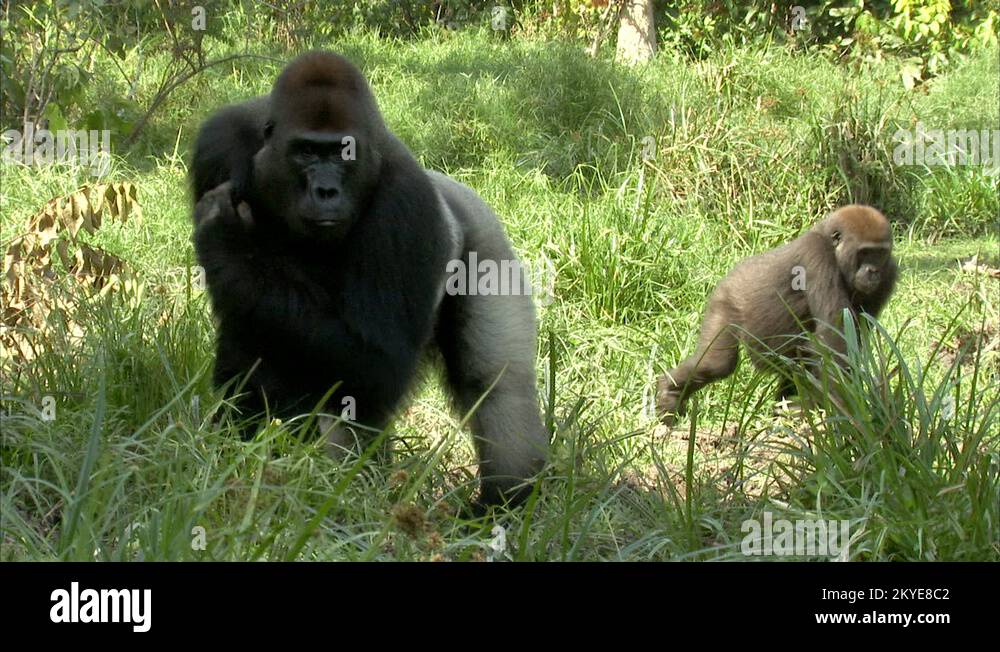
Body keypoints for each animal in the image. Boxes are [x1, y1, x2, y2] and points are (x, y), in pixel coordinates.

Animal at [190, 51, 548, 507]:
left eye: (344, 154)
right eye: (307, 152)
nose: (326, 191)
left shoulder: (405, 204)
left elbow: (376, 365)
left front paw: (226, 236)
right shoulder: (217, 143)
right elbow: (244, 324)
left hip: (487, 243)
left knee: (496, 385)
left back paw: (502, 502)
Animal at [656, 204, 897, 425]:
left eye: (880, 254)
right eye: (864, 253)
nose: (873, 271)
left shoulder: (889, 273)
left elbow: (848, 341)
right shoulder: (817, 254)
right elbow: (834, 341)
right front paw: (841, 412)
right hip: (725, 299)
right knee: (716, 363)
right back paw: (669, 391)